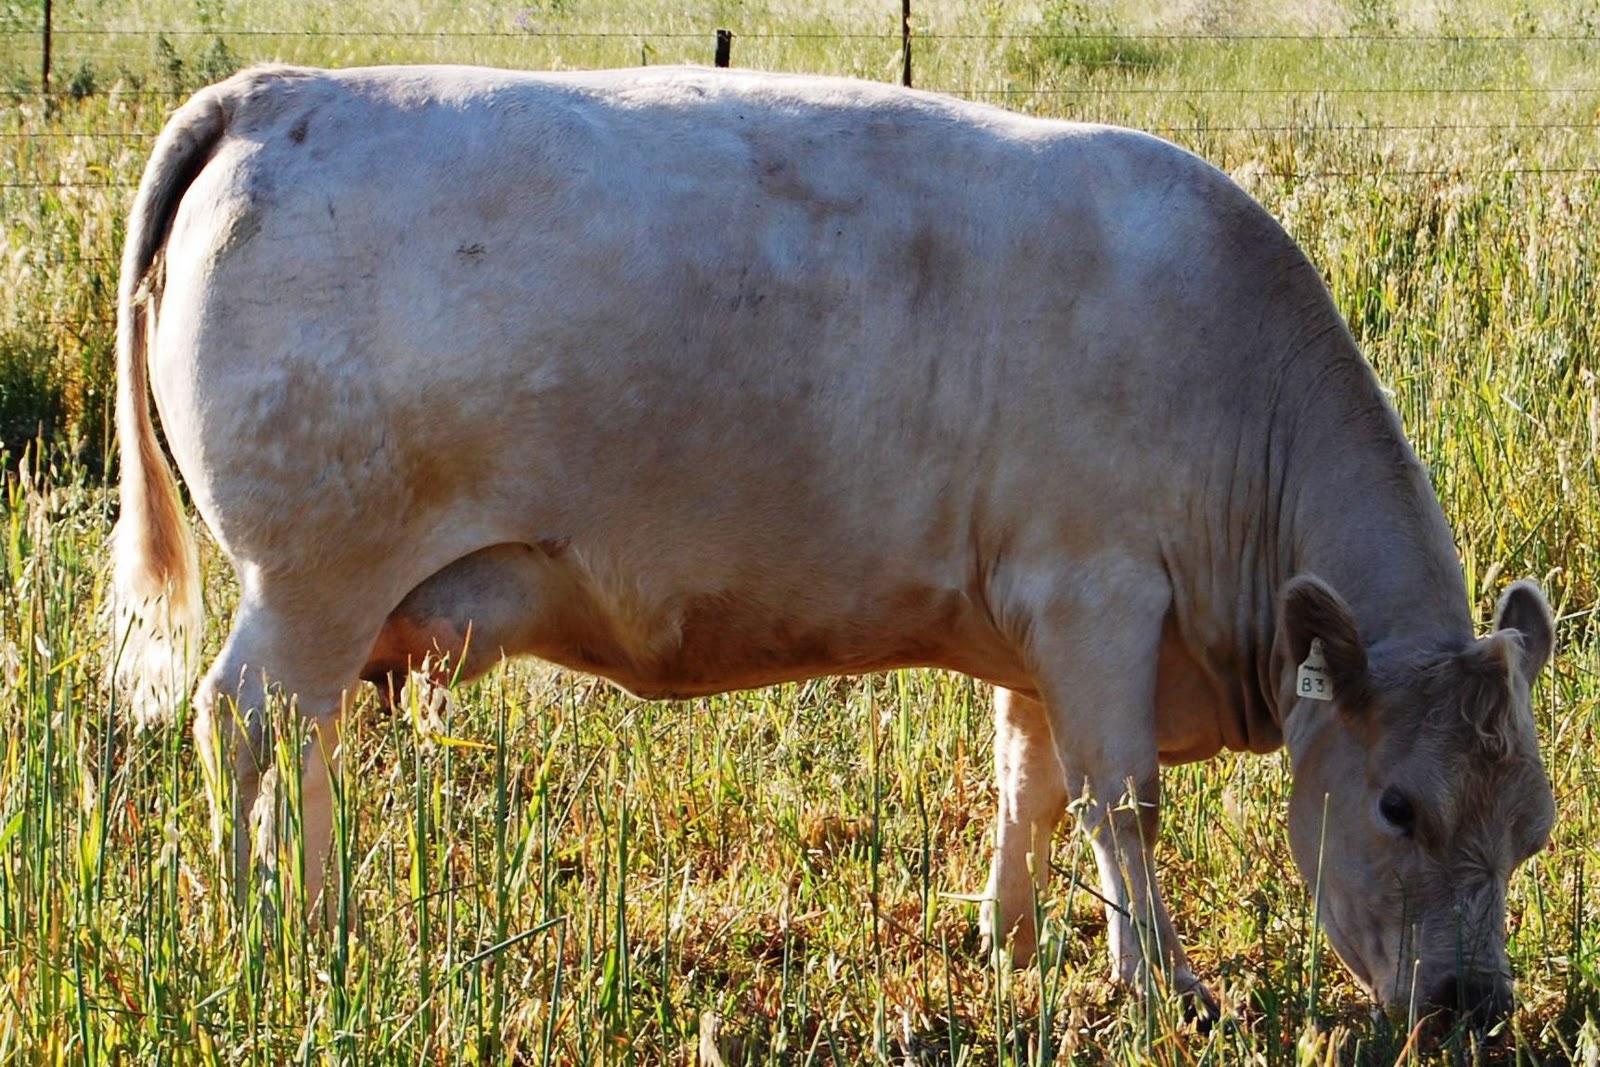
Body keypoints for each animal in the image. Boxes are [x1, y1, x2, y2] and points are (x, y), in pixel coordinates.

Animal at [112, 63, 1555, 1026]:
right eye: (1398, 804)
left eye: (1535, 827)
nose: (1473, 1007)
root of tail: (272, 89)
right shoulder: (1096, 595)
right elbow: (1120, 796)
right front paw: (1161, 981)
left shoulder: (1036, 621)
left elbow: (1028, 777)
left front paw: (1008, 937)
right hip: (312, 574)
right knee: (243, 720)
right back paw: (272, 928)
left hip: (333, 595)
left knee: (291, 736)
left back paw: (314, 915)